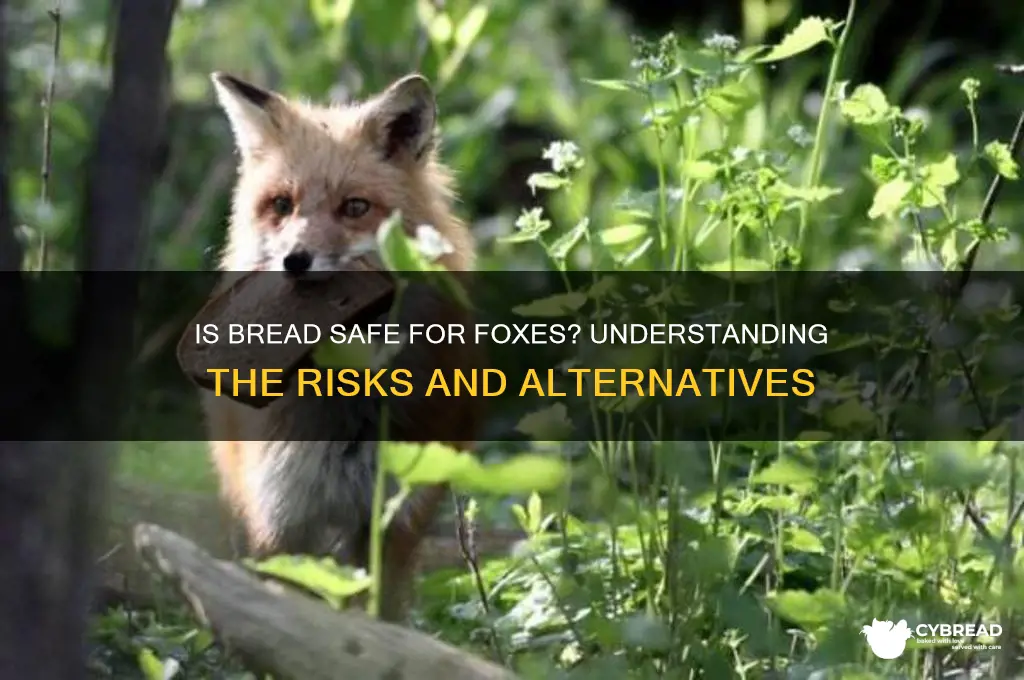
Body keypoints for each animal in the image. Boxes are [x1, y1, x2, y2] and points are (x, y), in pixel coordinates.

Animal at [202, 71, 480, 623]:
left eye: (354, 207)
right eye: (282, 205)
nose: (296, 260)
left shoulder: (392, 520)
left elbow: (379, 616)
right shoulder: (282, 517)